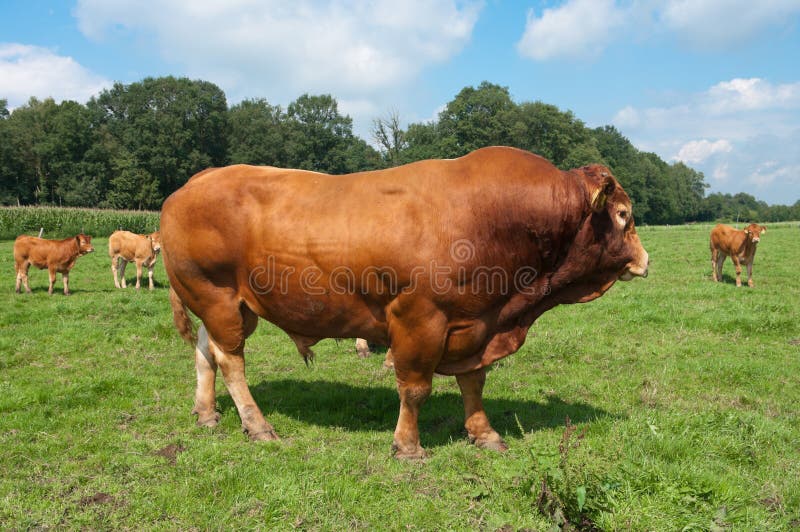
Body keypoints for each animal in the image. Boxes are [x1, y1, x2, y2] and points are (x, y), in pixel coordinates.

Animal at [161, 146, 649, 459]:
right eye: (624, 215)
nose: (645, 260)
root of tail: (196, 180)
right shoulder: (420, 319)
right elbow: (415, 388)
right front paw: (408, 447)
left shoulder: (475, 321)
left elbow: (473, 383)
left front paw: (484, 434)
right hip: (217, 295)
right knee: (230, 360)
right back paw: (258, 426)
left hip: (226, 304)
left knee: (205, 351)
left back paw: (206, 414)